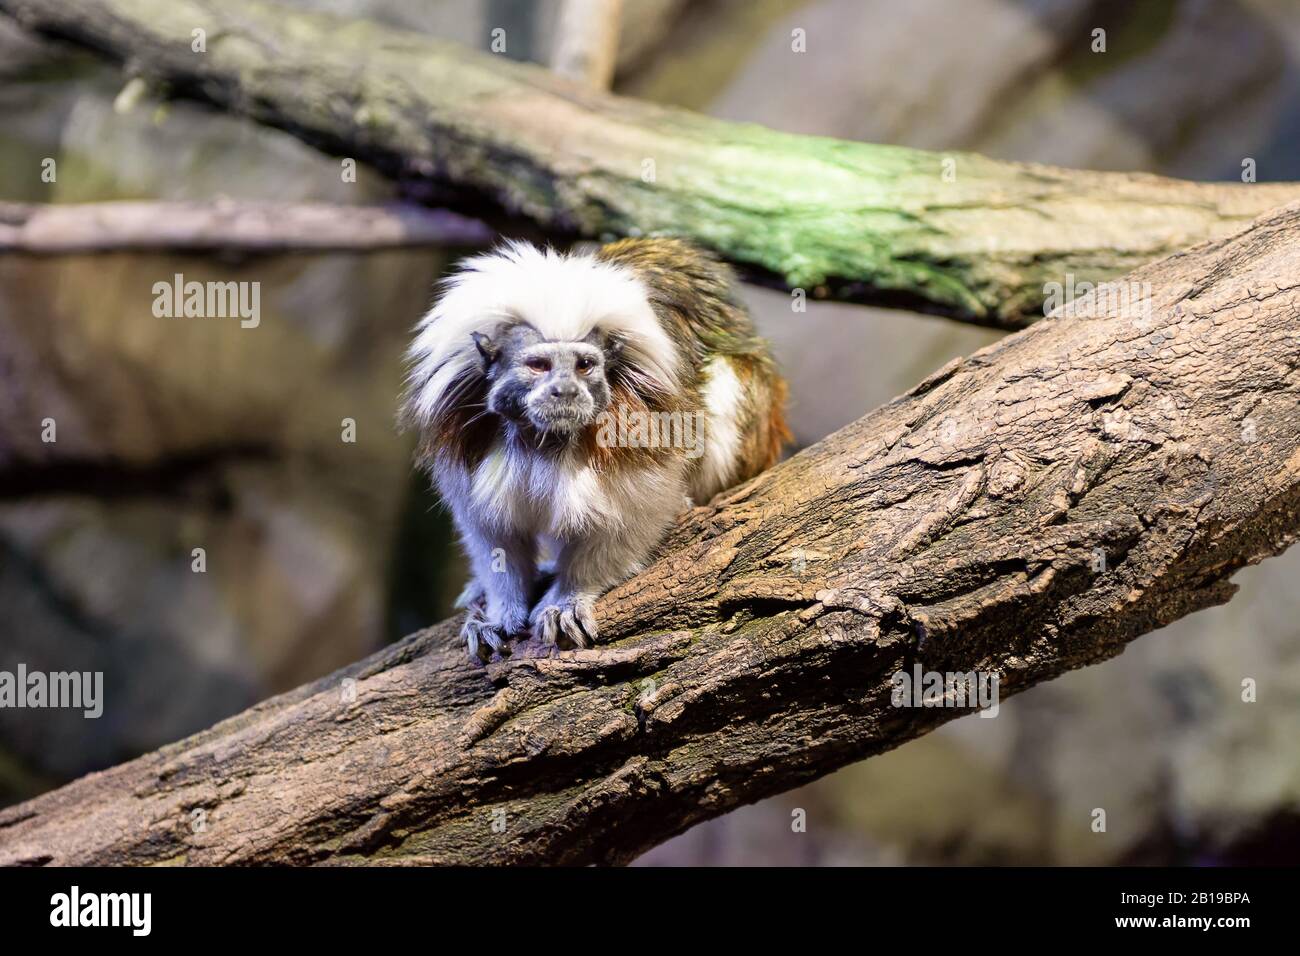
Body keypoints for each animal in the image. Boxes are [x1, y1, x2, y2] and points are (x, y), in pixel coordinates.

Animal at [400, 237, 789, 661]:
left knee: (726, 377)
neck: (545, 440)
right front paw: (499, 610)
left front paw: (568, 598)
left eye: (584, 365)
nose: (565, 391)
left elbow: (635, 520)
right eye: (539, 365)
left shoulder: (642, 433)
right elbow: (491, 532)